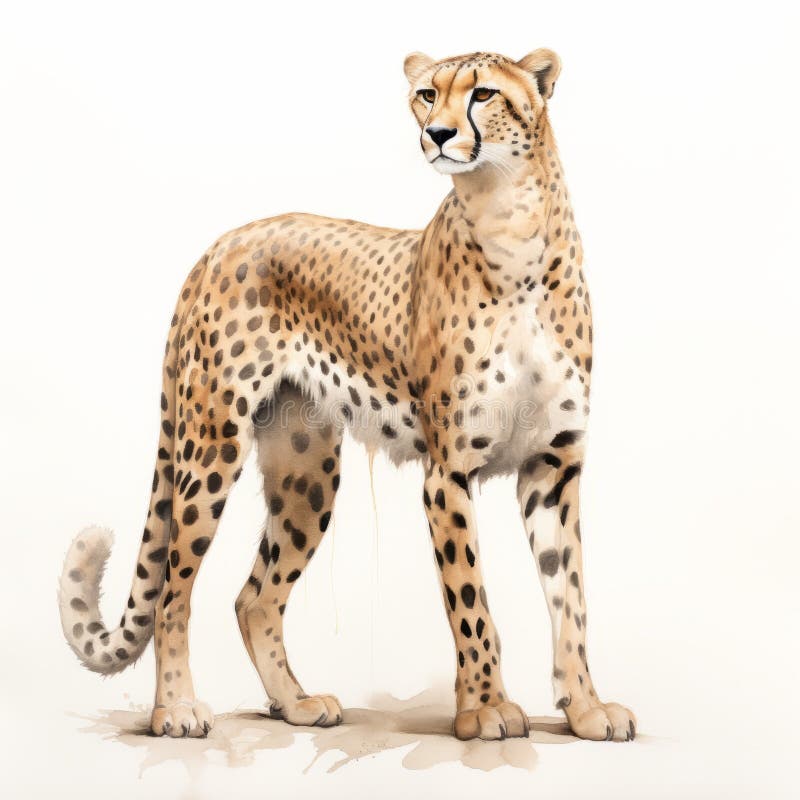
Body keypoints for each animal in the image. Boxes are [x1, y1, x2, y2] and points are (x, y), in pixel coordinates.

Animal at [59, 48, 636, 743]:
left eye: (484, 94)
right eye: (427, 94)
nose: (438, 134)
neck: (511, 225)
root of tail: (219, 244)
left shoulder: (552, 467)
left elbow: (569, 598)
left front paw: (586, 708)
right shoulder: (448, 473)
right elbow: (472, 602)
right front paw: (486, 709)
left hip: (305, 471)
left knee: (253, 597)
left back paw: (296, 703)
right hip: (212, 445)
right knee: (175, 586)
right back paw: (174, 709)